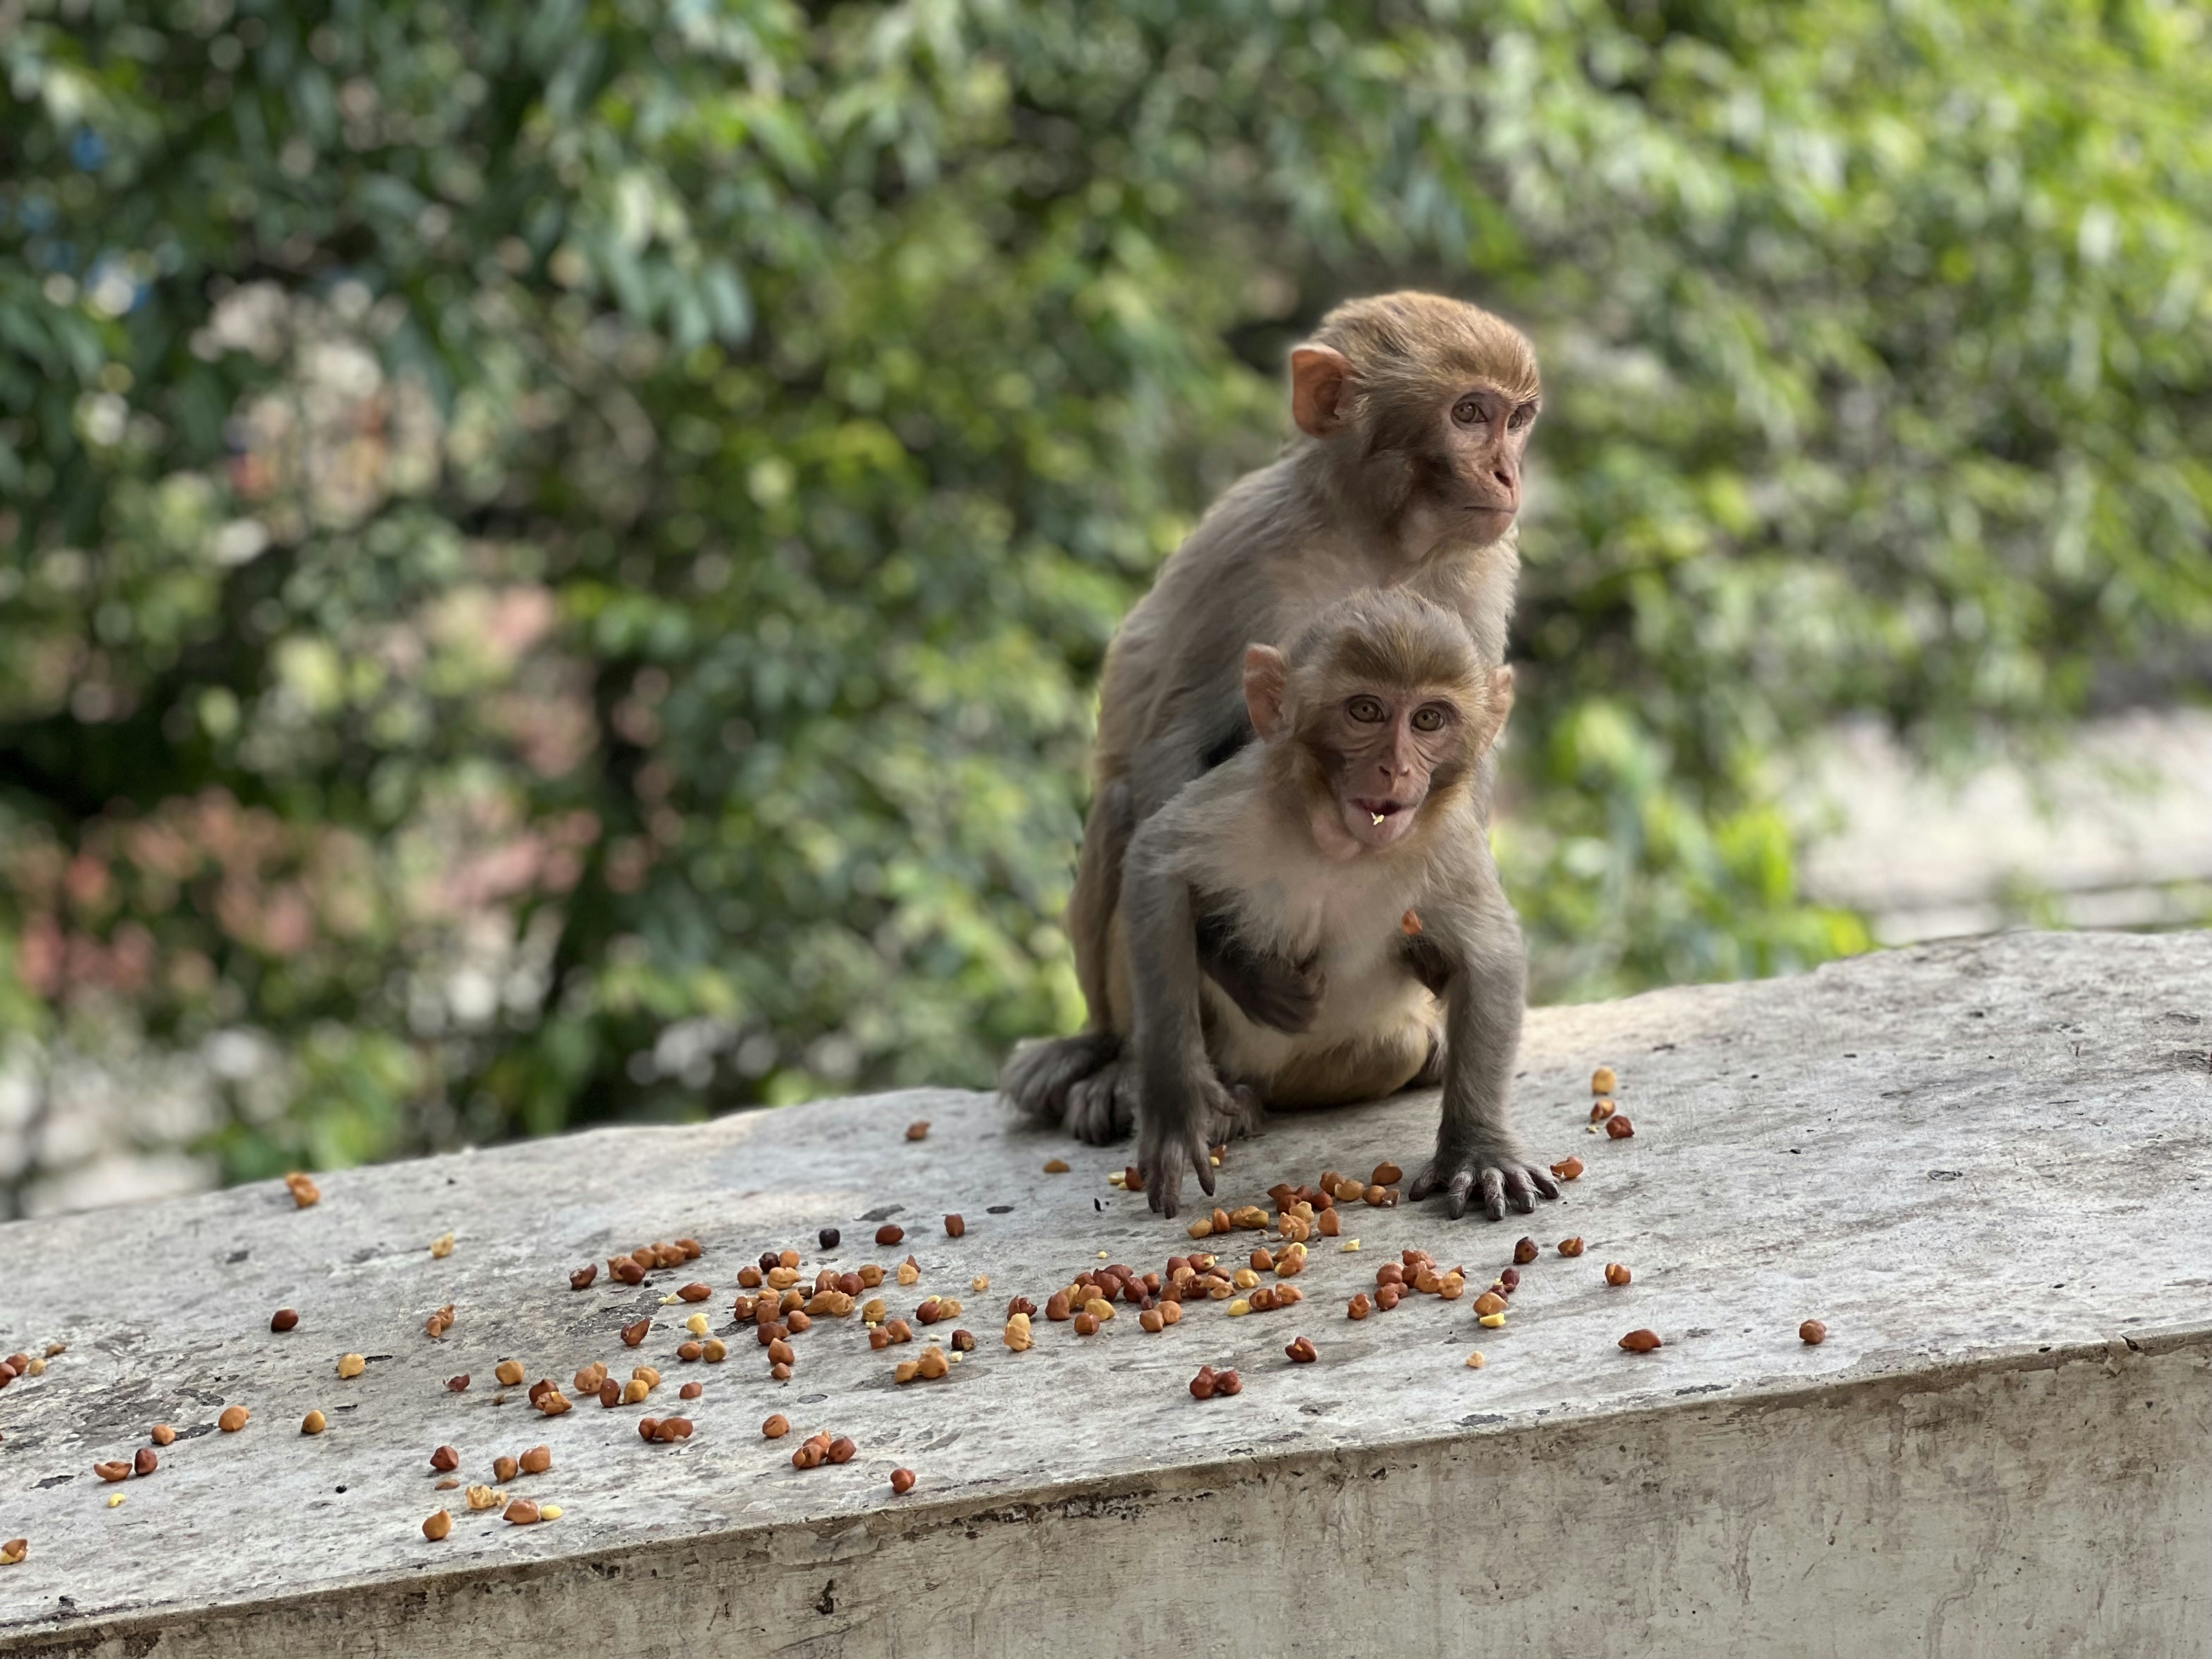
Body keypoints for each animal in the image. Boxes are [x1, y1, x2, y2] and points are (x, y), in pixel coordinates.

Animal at [1001, 292, 1542, 1157]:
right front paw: (1234, 959)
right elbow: (1173, 742)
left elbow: (1468, 772)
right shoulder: (1247, 552)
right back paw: (1117, 1061)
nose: (1507, 472)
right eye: (1469, 414)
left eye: (1518, 419)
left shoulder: (1482, 570)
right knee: (1123, 802)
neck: (1375, 540)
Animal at [1113, 589, 1560, 1223]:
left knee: (1397, 1047)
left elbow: (1490, 956)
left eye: (1429, 719)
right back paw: (1233, 1105)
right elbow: (1156, 866)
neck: (1340, 849)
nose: (1396, 768)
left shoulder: (1450, 842)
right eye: (1366, 711)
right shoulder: (1246, 797)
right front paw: (1180, 1106)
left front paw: (1479, 1151)